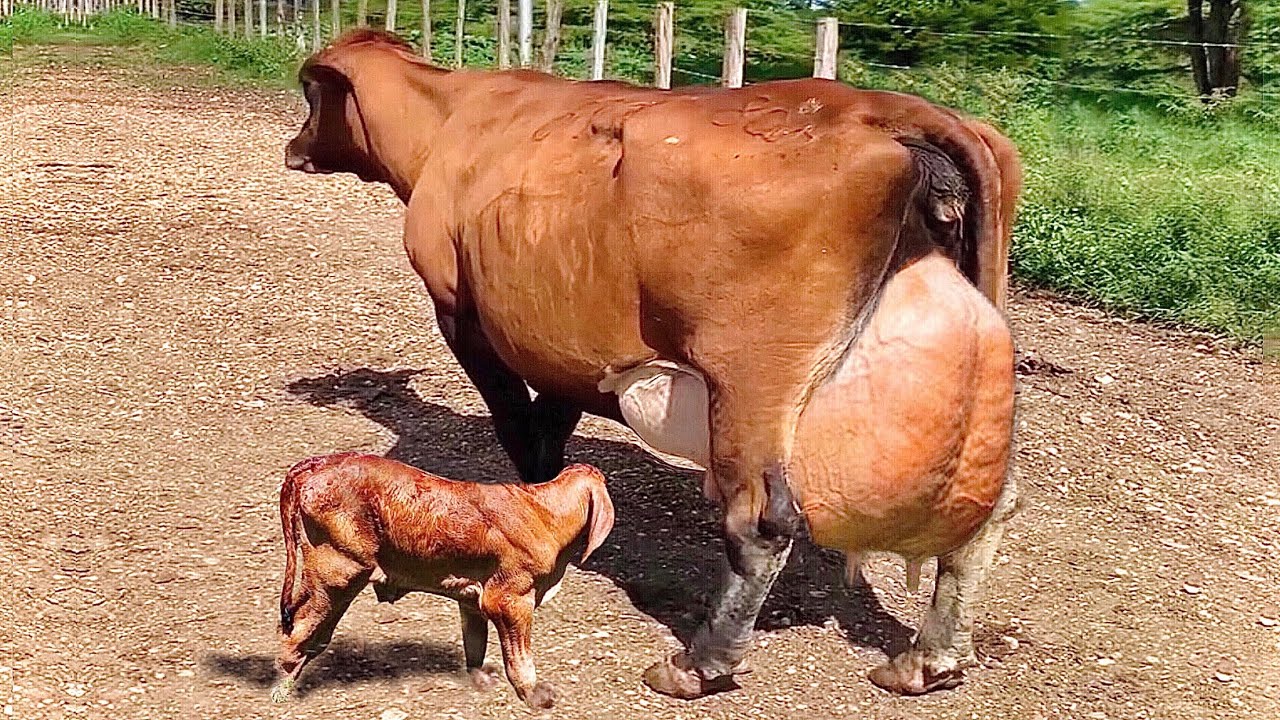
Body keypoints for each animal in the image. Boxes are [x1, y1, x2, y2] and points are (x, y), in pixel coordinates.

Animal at [282, 28, 1021, 700]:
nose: (294, 148)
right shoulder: (569, 345)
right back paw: (928, 659)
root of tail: (881, 108)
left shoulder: (461, 313)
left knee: (762, 523)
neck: (449, 116)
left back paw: (700, 664)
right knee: (990, 511)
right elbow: (552, 426)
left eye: (311, 95)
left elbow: (517, 426)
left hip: (752, 379)